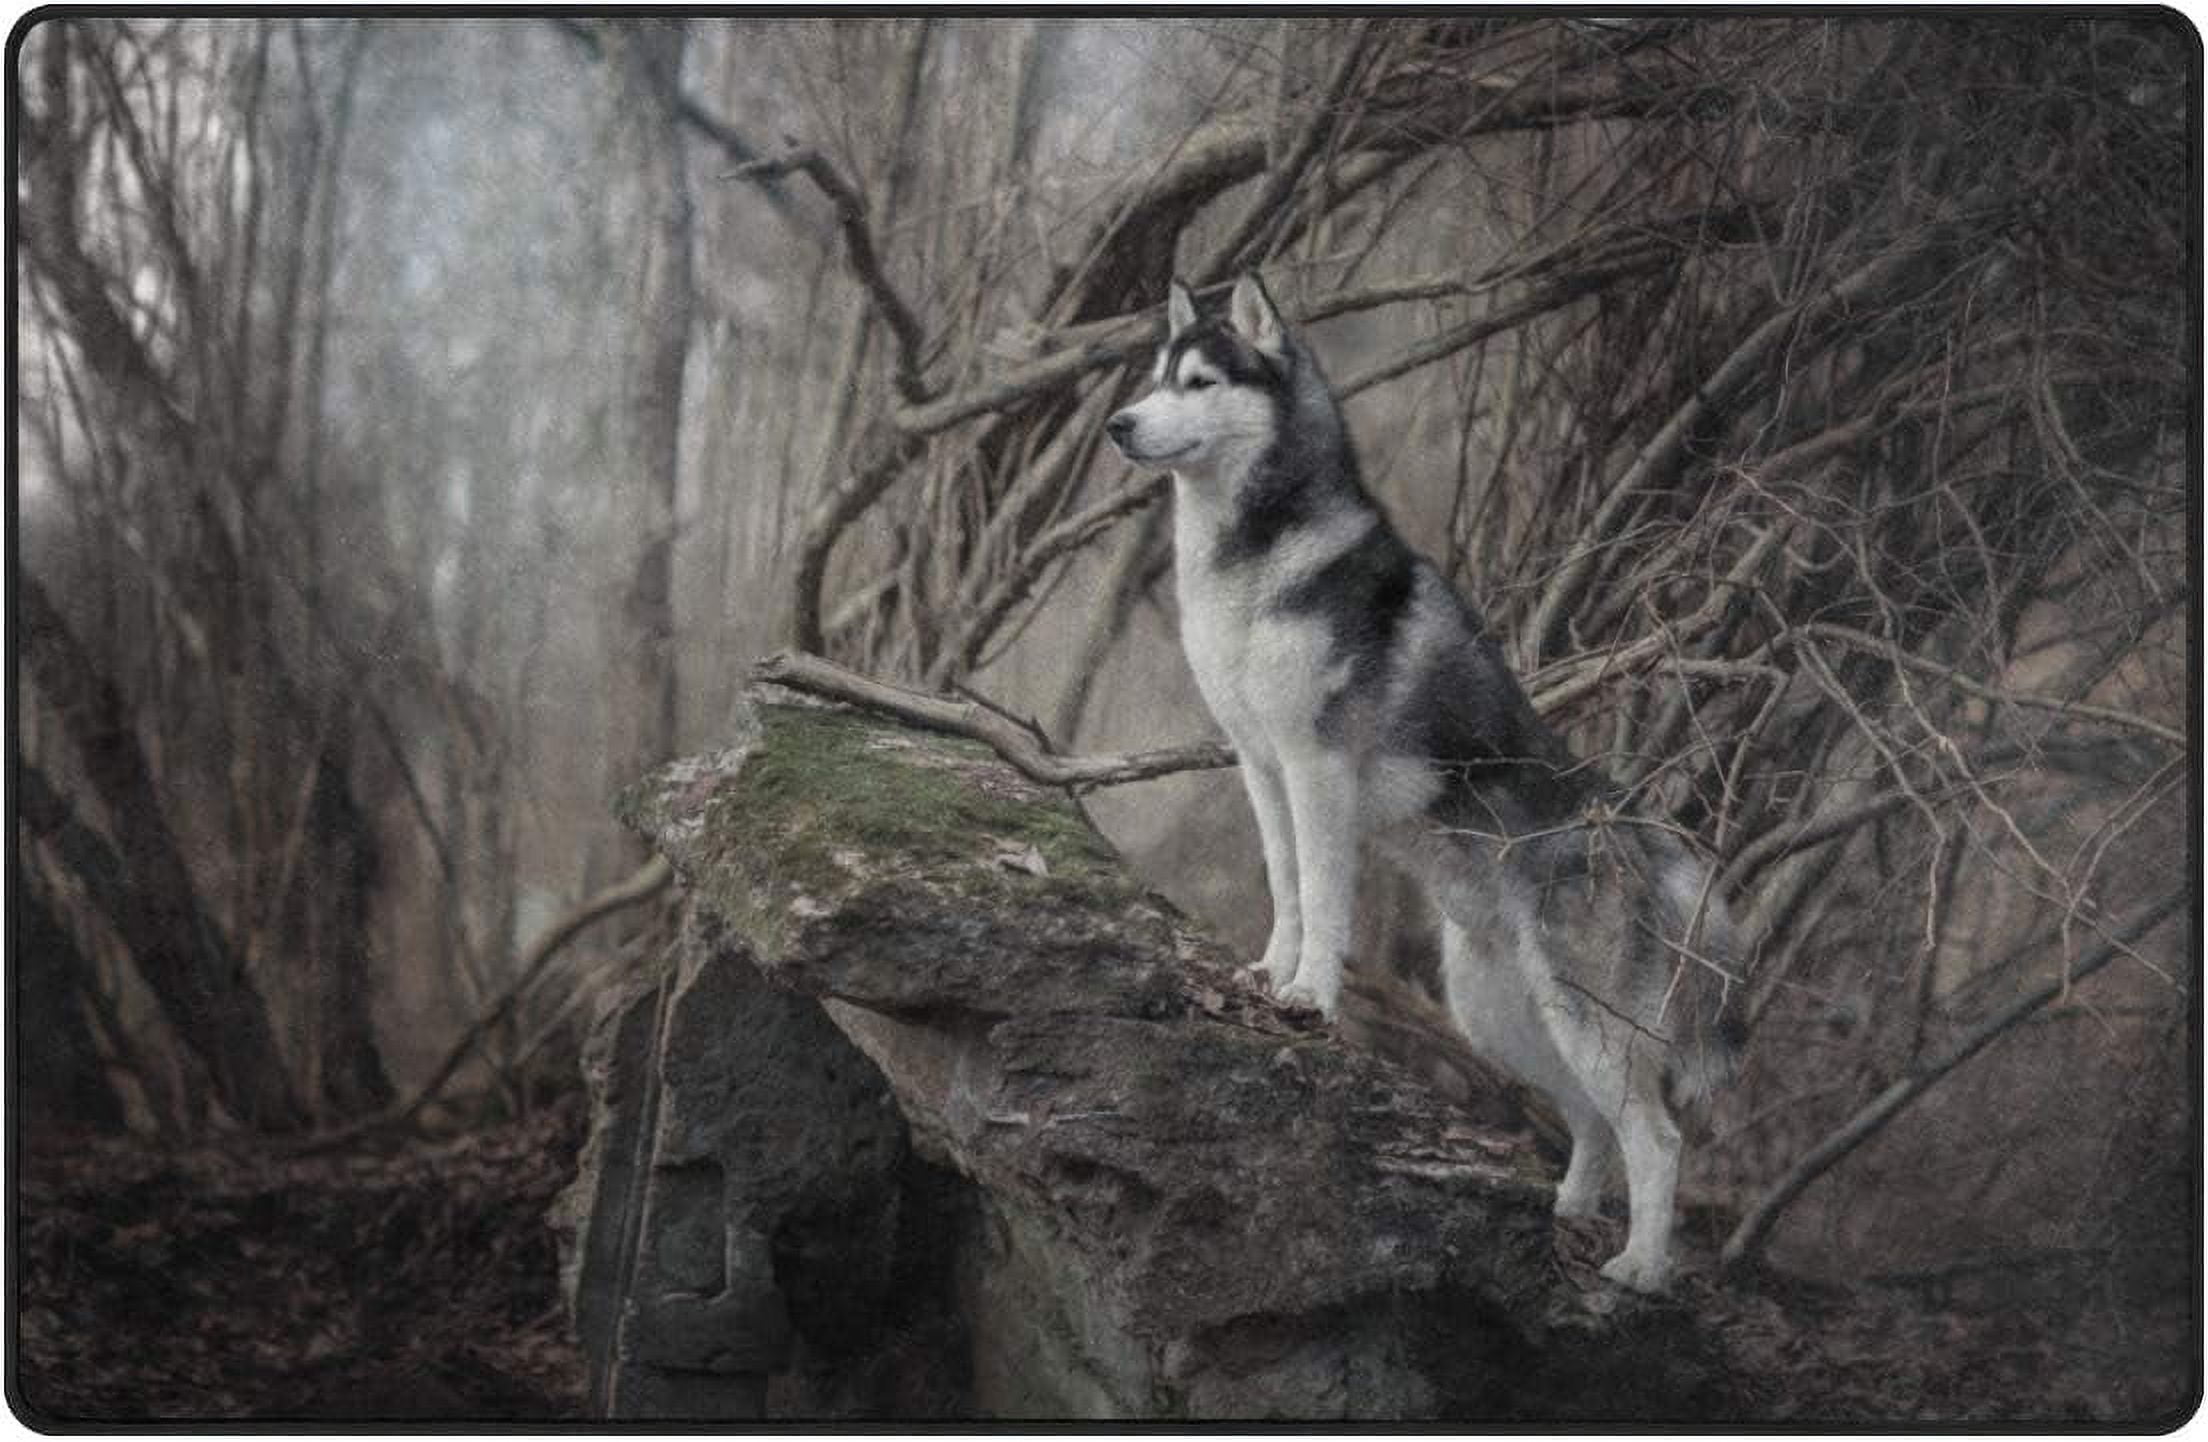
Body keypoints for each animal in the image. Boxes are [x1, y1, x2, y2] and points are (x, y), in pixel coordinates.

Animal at [1104, 275, 1746, 1292]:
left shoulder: (1318, 769)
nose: (1118, 425)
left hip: (1584, 1018)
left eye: (1201, 382)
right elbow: (1287, 886)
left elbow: (1327, 901)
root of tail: (1645, 834)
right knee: (1595, 1122)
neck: (1254, 558)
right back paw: (1567, 1216)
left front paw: (1309, 995)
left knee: (1657, 1137)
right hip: (1502, 1012)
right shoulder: (1260, 763)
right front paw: (1269, 971)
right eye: (1156, 377)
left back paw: (1640, 1269)